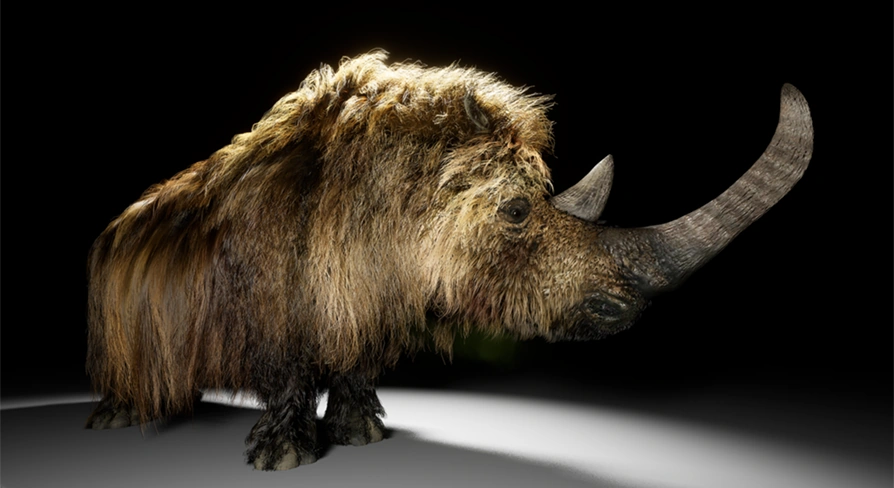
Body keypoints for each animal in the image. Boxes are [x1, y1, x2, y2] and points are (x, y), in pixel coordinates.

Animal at [85, 51, 813, 470]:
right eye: (515, 211)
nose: (627, 305)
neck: (393, 187)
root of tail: (119, 224)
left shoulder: (367, 285)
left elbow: (354, 358)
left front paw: (360, 436)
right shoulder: (272, 298)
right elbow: (287, 366)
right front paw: (284, 458)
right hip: (111, 267)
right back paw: (117, 416)